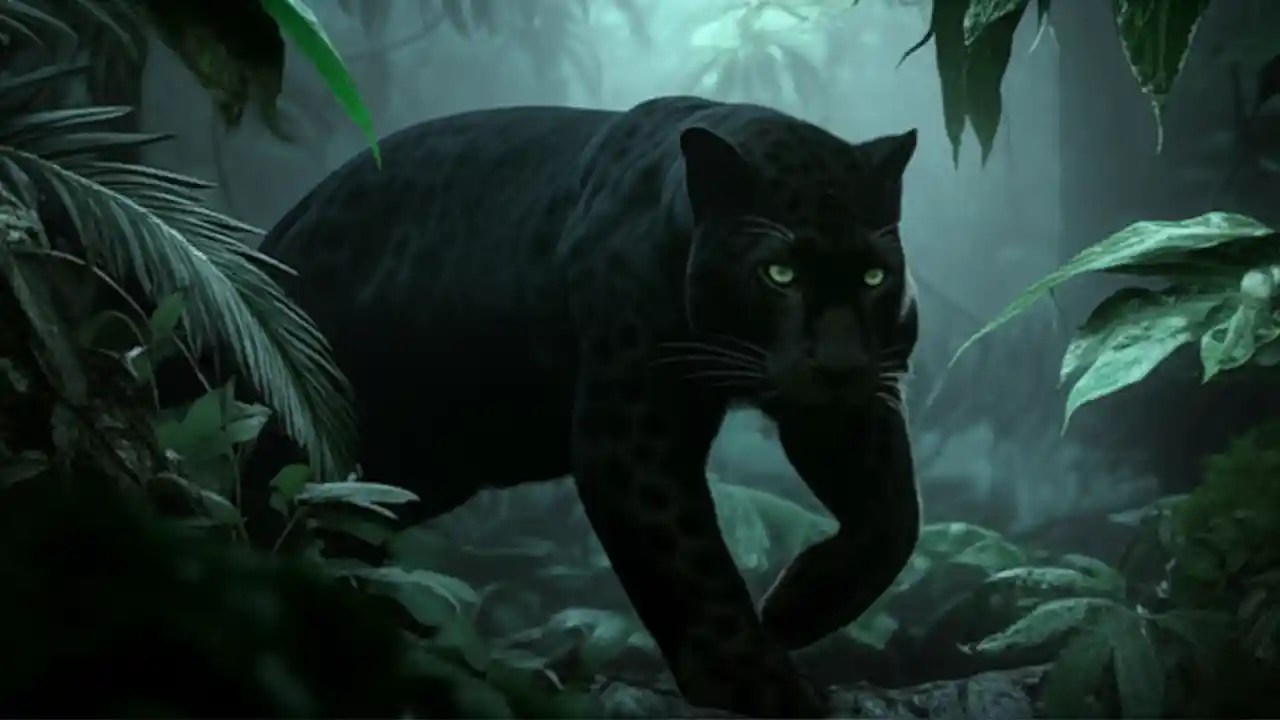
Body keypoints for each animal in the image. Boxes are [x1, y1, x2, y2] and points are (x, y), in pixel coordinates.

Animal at [255, 95, 922, 717]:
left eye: (874, 276)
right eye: (780, 274)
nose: (839, 365)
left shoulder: (852, 404)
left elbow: (895, 516)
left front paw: (797, 607)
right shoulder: (628, 432)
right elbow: (689, 557)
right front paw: (757, 682)